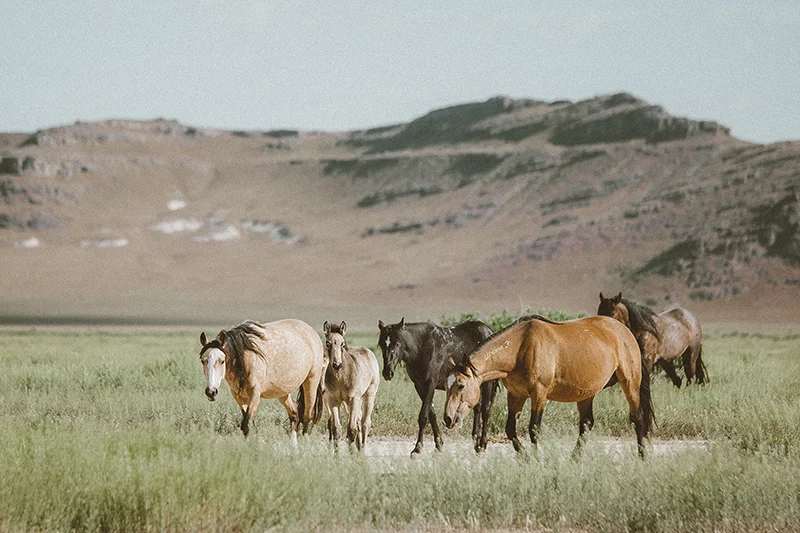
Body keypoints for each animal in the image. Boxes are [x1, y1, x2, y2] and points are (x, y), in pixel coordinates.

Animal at [322, 320, 380, 451]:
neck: (340, 378)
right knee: (358, 421)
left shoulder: (354, 399)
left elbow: (351, 430)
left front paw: (352, 453)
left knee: (365, 423)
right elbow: (337, 429)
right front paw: (337, 454)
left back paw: (362, 449)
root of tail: (368, 351)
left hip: (368, 395)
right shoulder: (333, 401)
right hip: (349, 403)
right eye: (328, 343)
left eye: (342, 344)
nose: (337, 365)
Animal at [378, 317, 500, 455]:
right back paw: (475, 440)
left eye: (397, 343)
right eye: (382, 344)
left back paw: (482, 445)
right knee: (477, 408)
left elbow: (423, 416)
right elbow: (431, 414)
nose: (387, 372)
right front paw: (439, 445)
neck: (422, 347)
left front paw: (417, 448)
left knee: (486, 410)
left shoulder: (430, 384)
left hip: (488, 383)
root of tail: (489, 331)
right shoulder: (419, 386)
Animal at [443, 314, 654, 459]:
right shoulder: (516, 395)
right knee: (586, 424)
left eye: (461, 385)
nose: (447, 418)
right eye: (446, 385)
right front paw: (525, 458)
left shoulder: (539, 394)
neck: (521, 347)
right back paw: (574, 459)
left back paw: (642, 457)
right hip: (587, 393)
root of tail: (625, 332)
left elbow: (534, 430)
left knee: (638, 417)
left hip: (630, 383)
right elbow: (510, 429)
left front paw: (536, 460)